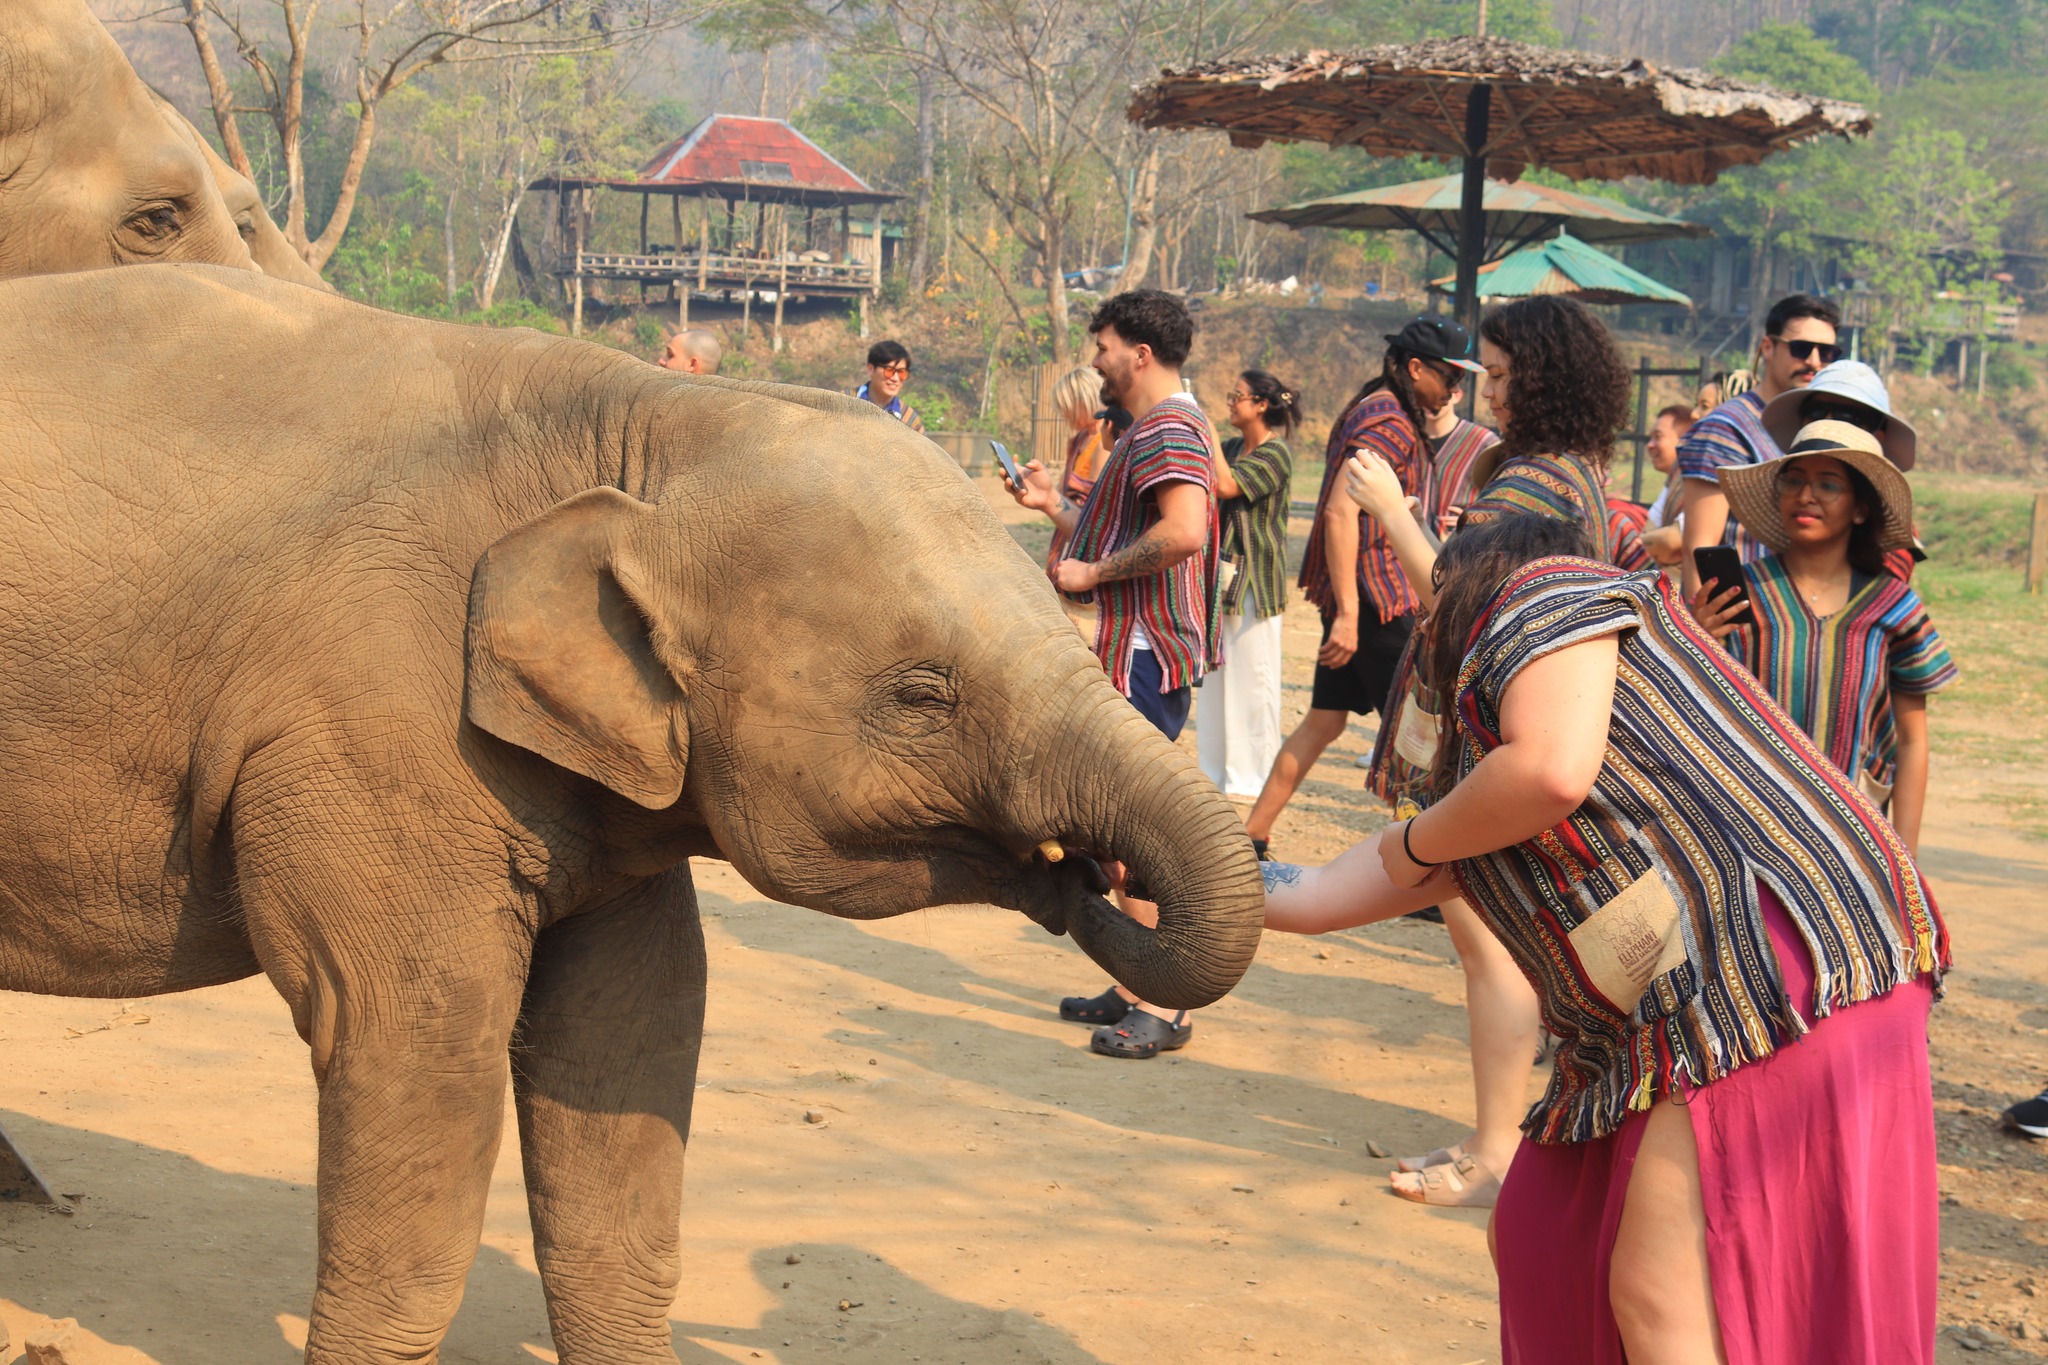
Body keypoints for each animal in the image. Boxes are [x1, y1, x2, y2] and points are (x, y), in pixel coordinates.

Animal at [0, 263, 1263, 1362]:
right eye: (921, 695)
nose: (1088, 873)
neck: (644, 423)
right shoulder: (367, 737)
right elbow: (418, 1046)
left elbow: (632, 1035)